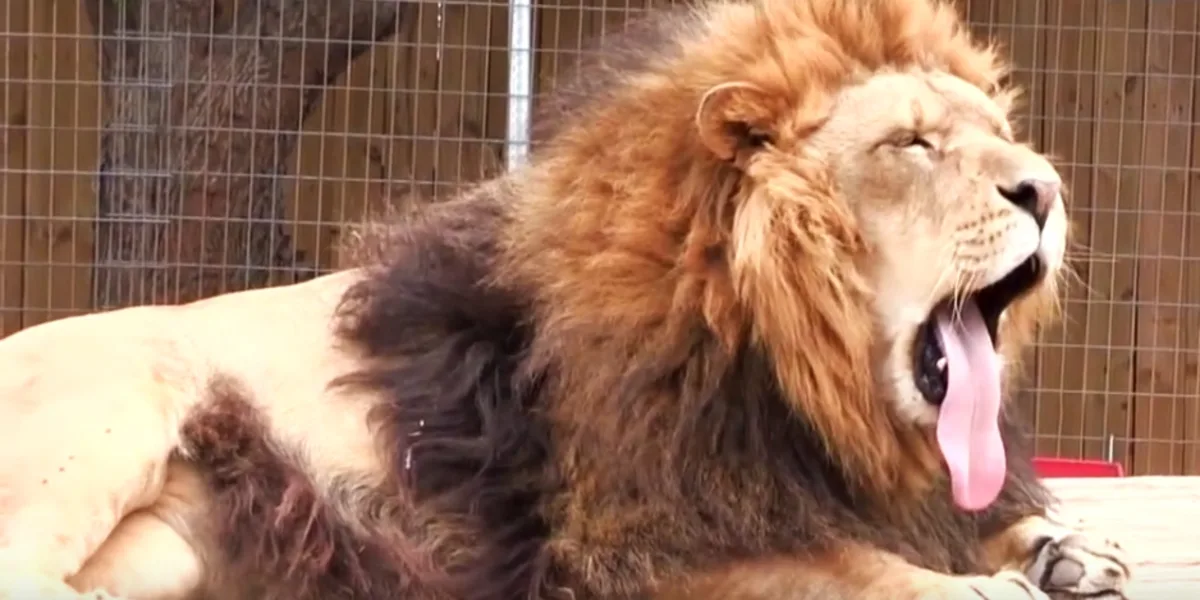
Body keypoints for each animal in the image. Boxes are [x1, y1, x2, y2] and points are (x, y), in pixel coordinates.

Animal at [0, 0, 1131, 598]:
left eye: (1000, 129)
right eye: (912, 143)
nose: (1046, 189)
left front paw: (1063, 548)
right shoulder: (630, 546)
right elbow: (850, 567)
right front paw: (977, 582)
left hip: (163, 550)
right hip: (112, 418)